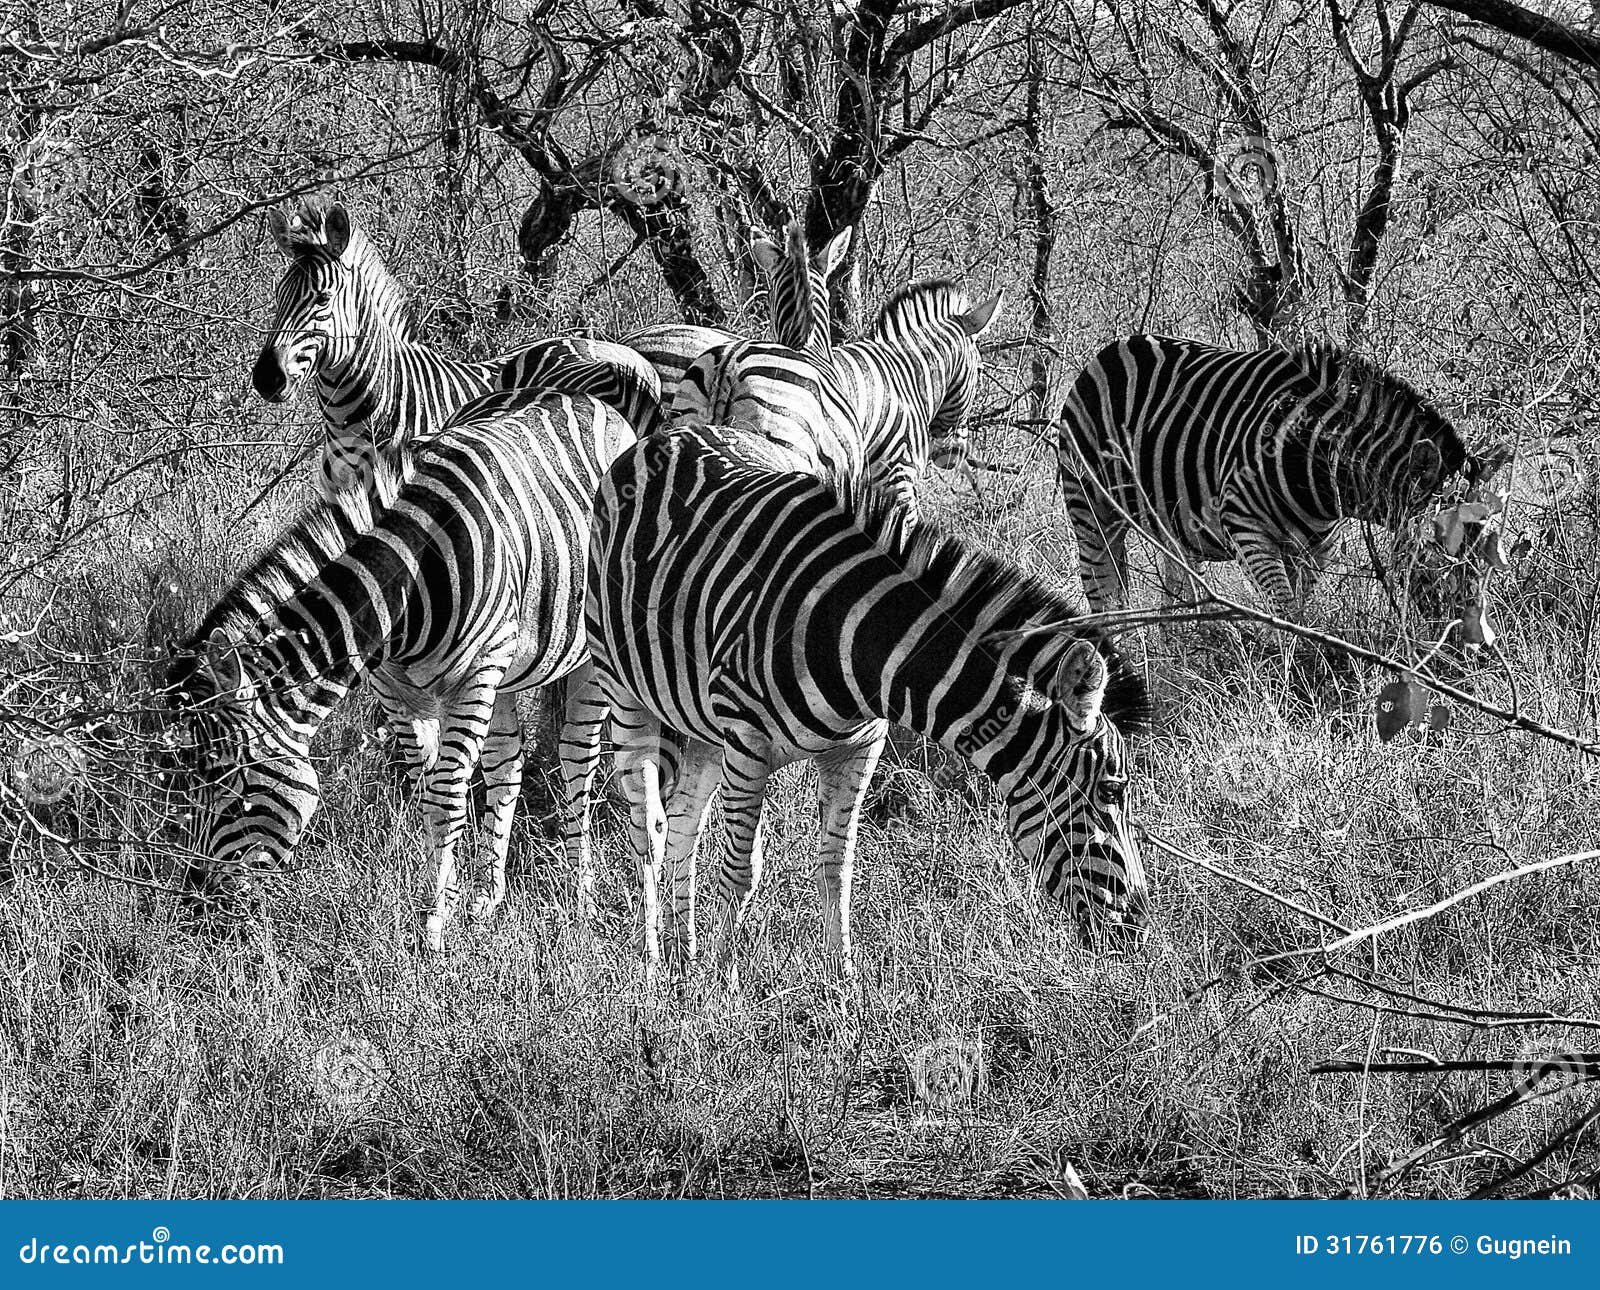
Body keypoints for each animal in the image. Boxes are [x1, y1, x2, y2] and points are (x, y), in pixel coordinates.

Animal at [165, 388, 634, 951]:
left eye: (228, 784)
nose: (193, 908)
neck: (412, 582)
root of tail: (583, 397)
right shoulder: (393, 685)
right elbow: (426, 783)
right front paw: (450, 901)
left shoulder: (474, 677)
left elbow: (447, 798)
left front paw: (432, 928)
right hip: (510, 671)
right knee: (507, 766)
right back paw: (488, 898)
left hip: (587, 661)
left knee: (577, 763)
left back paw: (578, 892)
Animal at [586, 425, 1152, 982]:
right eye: (1112, 791)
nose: (1139, 928)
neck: (859, 649)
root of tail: (667, 434)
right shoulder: (747, 741)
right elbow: (742, 872)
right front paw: (723, 991)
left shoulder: (860, 746)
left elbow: (836, 865)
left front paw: (842, 988)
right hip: (624, 690)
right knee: (650, 828)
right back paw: (653, 967)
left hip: (702, 720)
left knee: (684, 820)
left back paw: (683, 959)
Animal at [1056, 334, 1497, 619]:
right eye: (1440, 547)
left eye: (1486, 551)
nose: (1469, 649)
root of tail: (1117, 346)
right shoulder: (1246, 528)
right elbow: (1287, 616)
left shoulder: (1316, 548)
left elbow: (1301, 611)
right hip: (1091, 508)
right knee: (1105, 594)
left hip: (1174, 525)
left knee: (1178, 592)